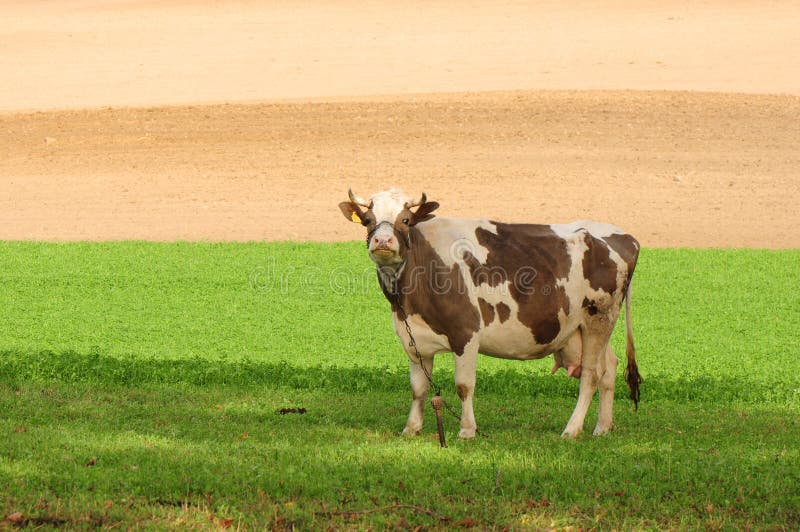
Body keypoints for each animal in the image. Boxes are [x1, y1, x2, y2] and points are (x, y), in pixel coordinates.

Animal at [339, 188, 641, 438]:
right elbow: (418, 387)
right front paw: (411, 428)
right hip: (582, 329)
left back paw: (572, 429)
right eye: (367, 220)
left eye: (405, 220)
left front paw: (467, 430)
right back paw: (602, 427)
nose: (382, 239)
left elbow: (464, 385)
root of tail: (626, 237)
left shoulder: (466, 331)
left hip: (598, 319)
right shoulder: (413, 338)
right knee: (609, 367)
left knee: (591, 375)